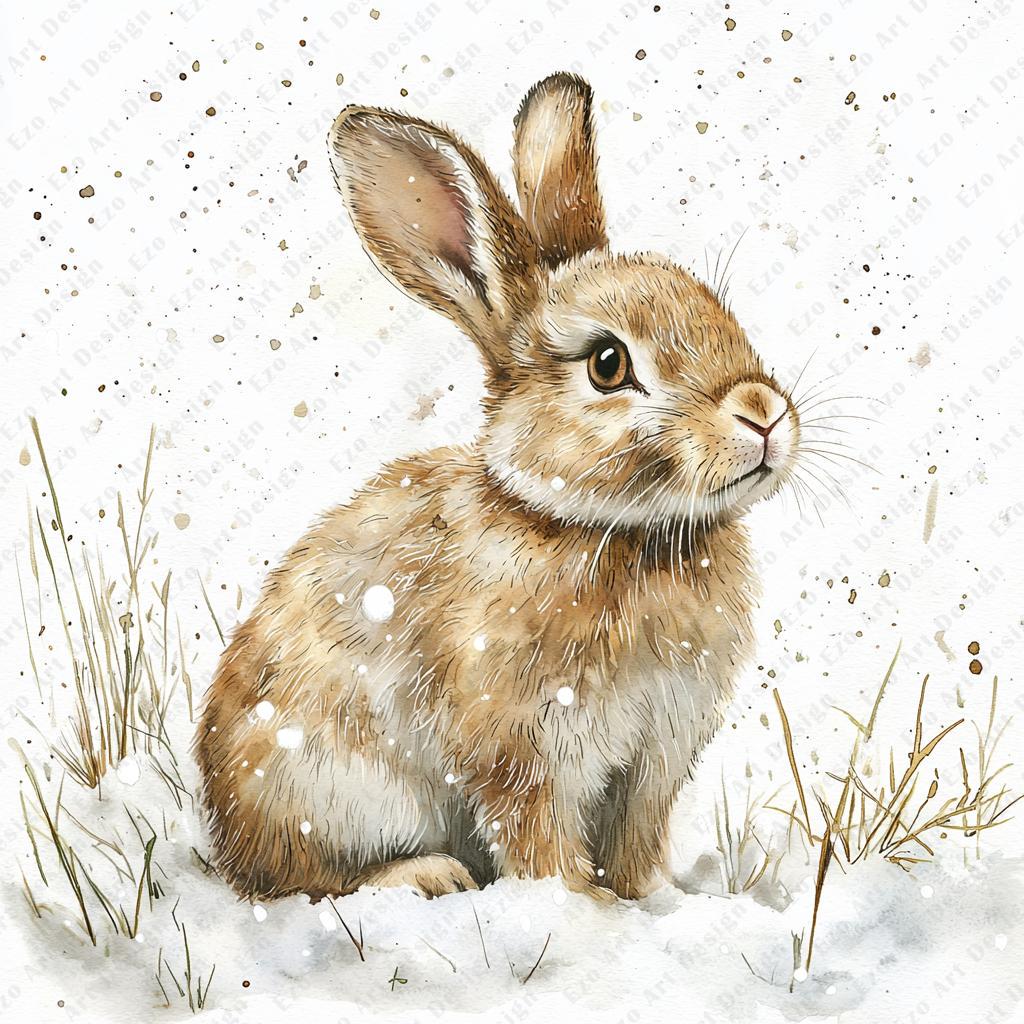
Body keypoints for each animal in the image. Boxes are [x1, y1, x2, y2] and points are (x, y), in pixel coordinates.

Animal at [195, 72, 801, 904]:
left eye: (719, 311)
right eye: (608, 364)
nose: (762, 412)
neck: (605, 530)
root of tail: (222, 819)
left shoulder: (654, 759)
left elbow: (636, 844)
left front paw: (653, 900)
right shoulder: (526, 746)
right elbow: (540, 843)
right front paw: (582, 909)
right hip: (333, 785)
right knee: (300, 880)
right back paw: (427, 875)